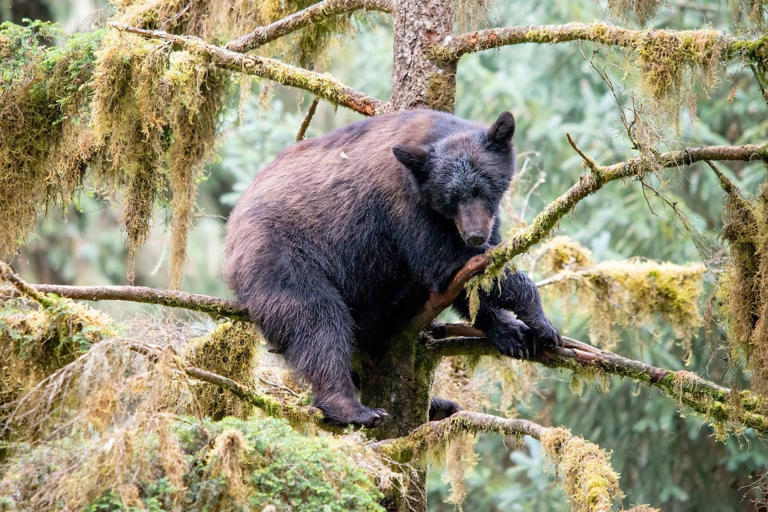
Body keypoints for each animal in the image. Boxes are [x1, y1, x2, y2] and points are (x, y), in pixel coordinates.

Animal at [224, 108, 560, 427]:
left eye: (483, 187)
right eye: (451, 196)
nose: (475, 235)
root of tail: (232, 230)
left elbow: (474, 281)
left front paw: (512, 332)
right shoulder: (404, 208)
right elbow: (448, 262)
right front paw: (543, 323)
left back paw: (435, 403)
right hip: (283, 256)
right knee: (316, 322)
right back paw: (352, 407)